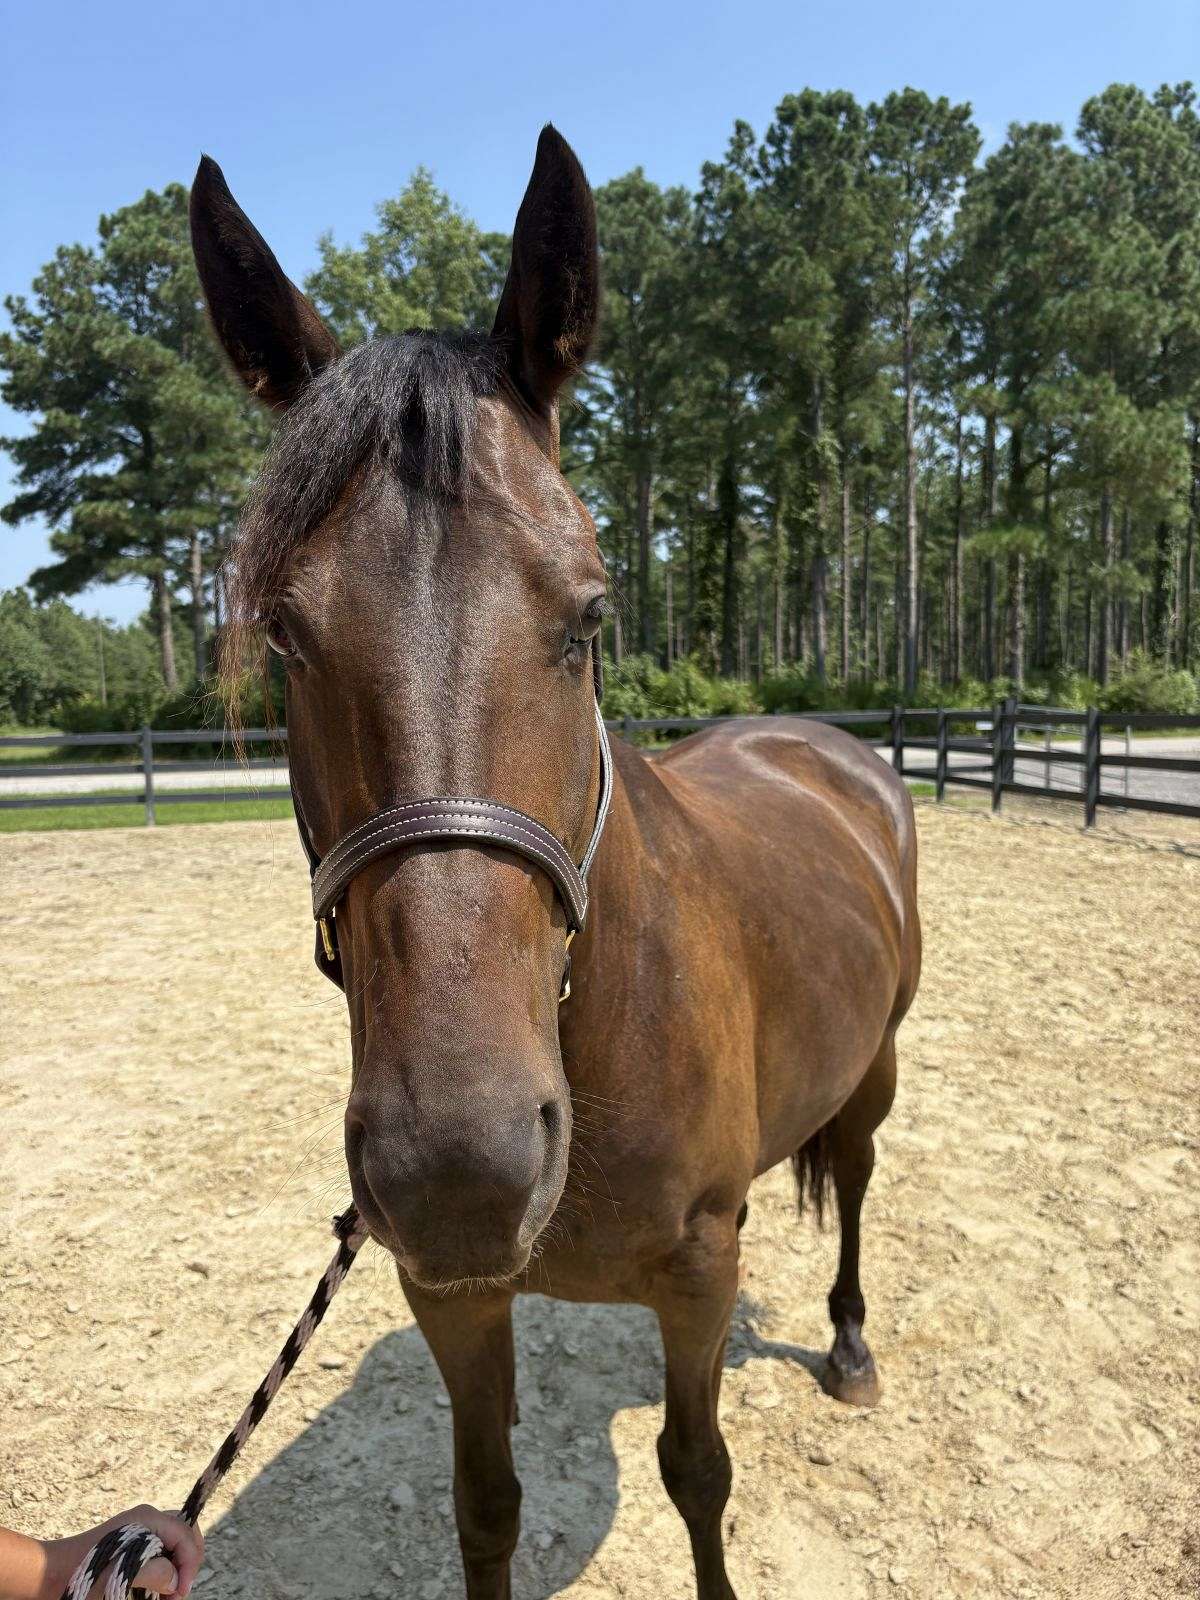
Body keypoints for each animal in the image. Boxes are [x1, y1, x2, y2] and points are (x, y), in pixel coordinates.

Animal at [189, 125, 921, 1600]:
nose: (458, 1166)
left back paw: (852, 1343)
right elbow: (484, 1504)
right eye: (285, 635)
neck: (601, 1010)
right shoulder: (449, 1291)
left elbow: (699, 1474)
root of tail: (829, 745)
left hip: (874, 1066)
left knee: (862, 1183)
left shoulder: (695, 1270)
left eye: (589, 615)